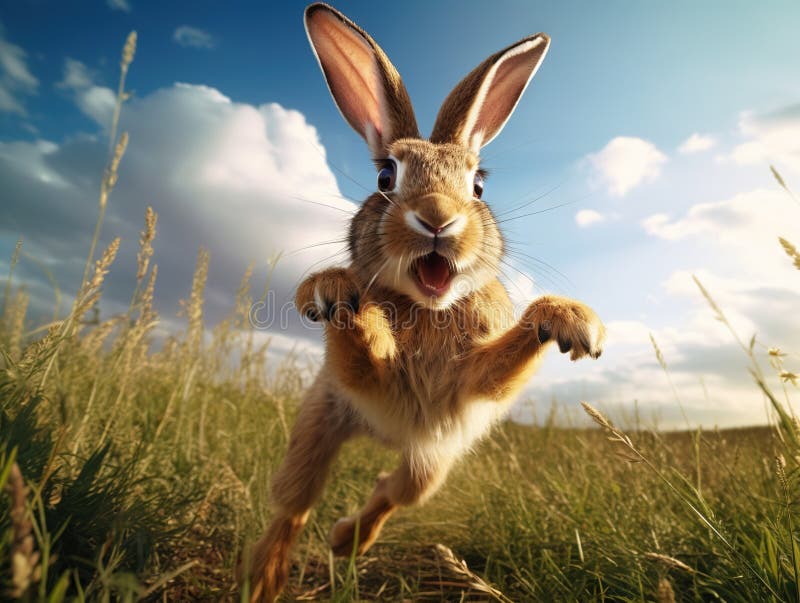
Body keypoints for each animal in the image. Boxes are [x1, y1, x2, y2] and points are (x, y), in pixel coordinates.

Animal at [245, 3, 606, 601]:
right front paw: (331, 290)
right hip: (319, 422)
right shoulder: (364, 382)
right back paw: (265, 578)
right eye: (385, 176)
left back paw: (345, 540)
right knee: (294, 502)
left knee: (394, 488)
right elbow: (364, 351)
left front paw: (572, 320)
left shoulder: (469, 380)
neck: (429, 306)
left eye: (478, 187)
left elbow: (497, 370)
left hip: (431, 461)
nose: (437, 218)